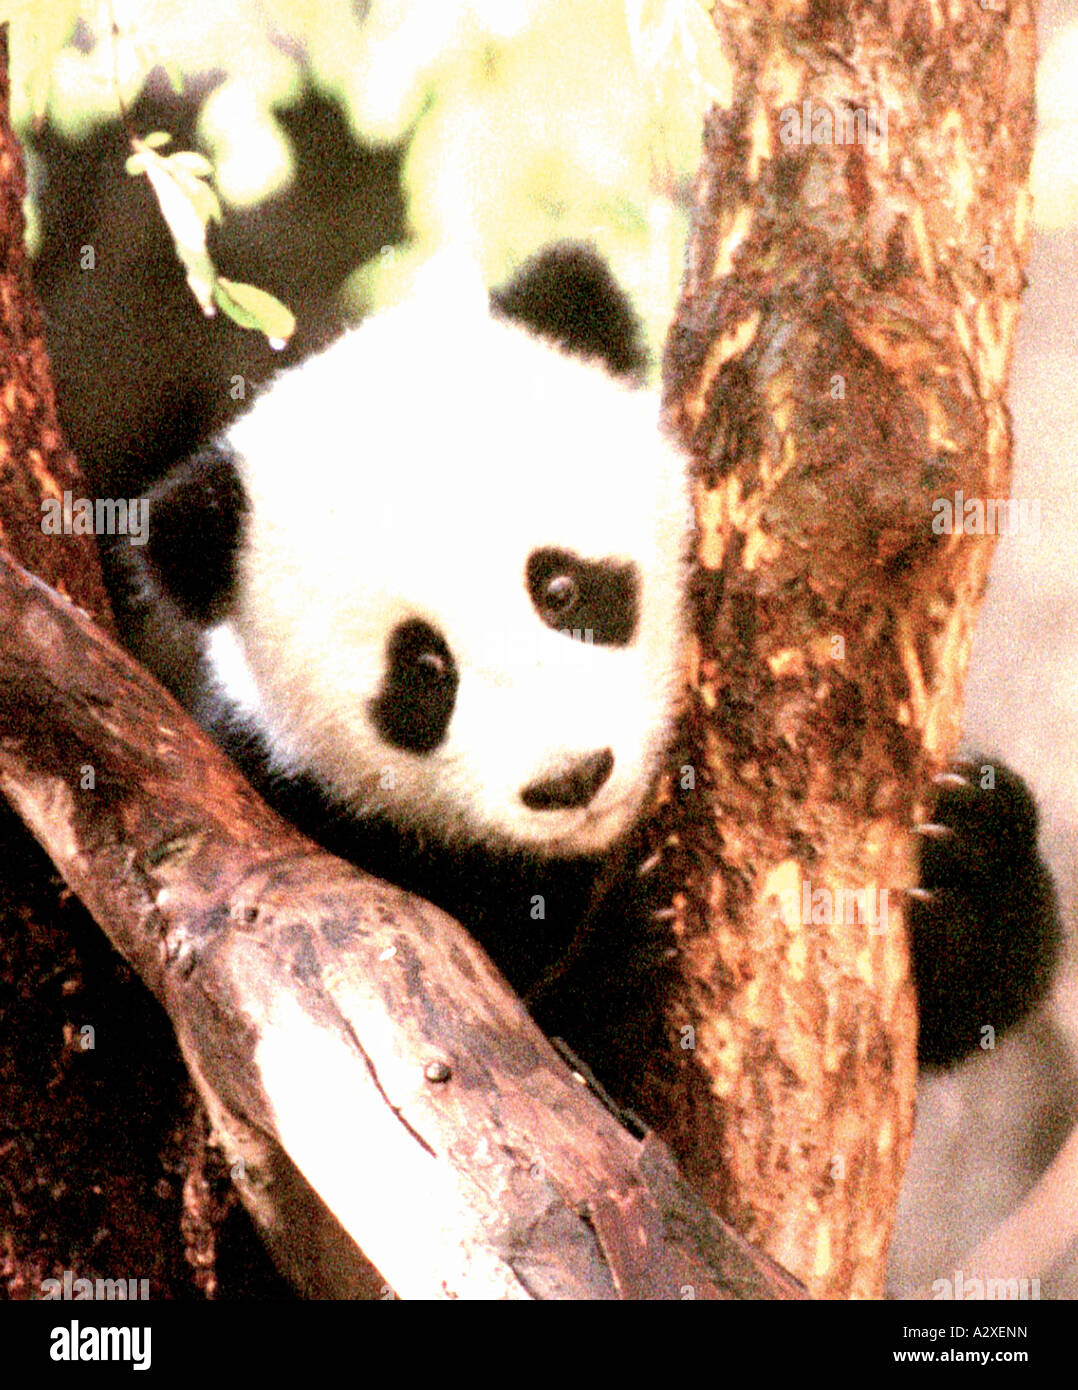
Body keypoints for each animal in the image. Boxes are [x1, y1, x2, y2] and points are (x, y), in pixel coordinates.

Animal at [122, 242, 1066, 1247]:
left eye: (562, 587)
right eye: (423, 671)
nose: (571, 778)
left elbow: (966, 1004)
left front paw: (968, 859)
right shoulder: (287, 833)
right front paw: (616, 952)